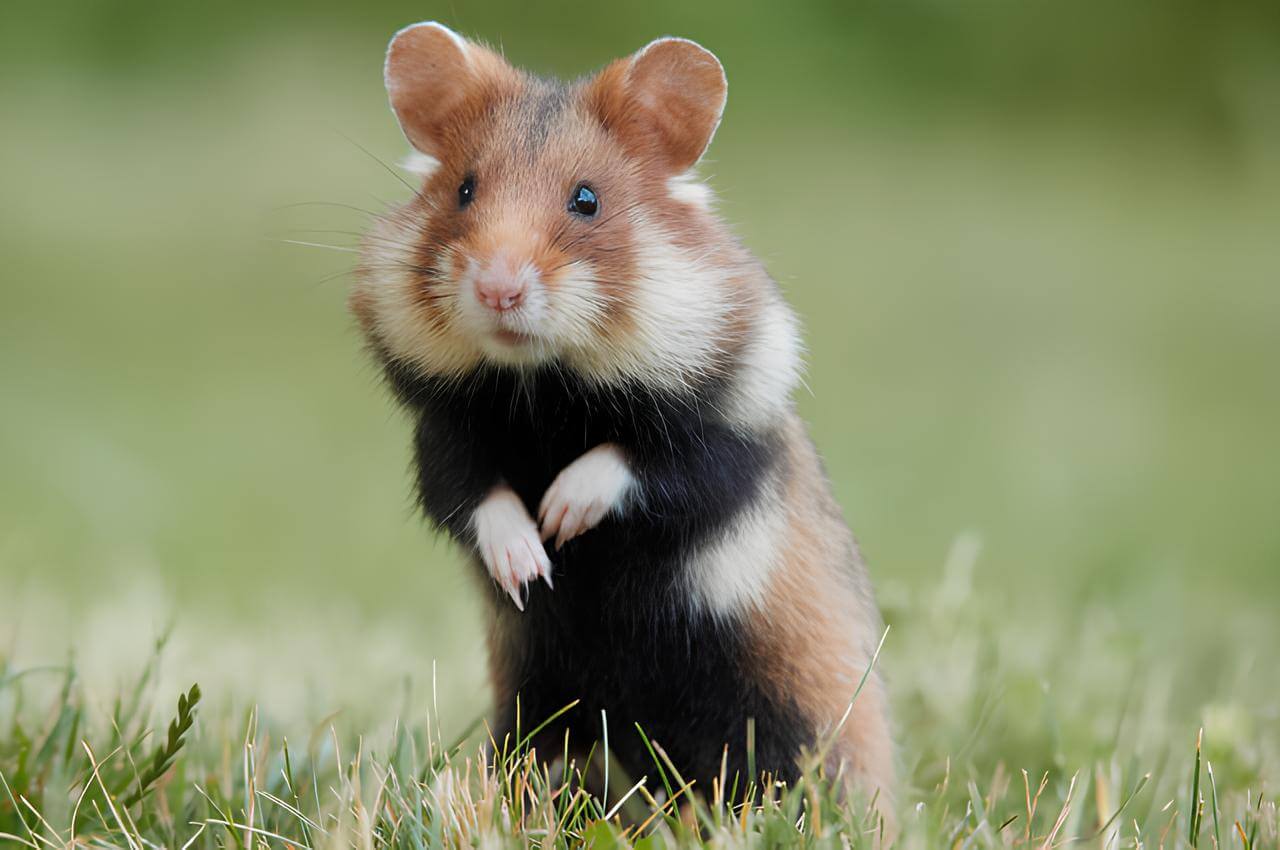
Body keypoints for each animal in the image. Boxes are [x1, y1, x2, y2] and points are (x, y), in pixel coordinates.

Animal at [351, 21, 895, 821]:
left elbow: (638, 464)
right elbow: (477, 498)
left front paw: (560, 516)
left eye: (586, 200)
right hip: (536, 700)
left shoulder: (726, 437)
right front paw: (531, 565)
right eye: (463, 189)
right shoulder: (442, 440)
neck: (546, 388)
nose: (497, 289)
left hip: (779, 710)